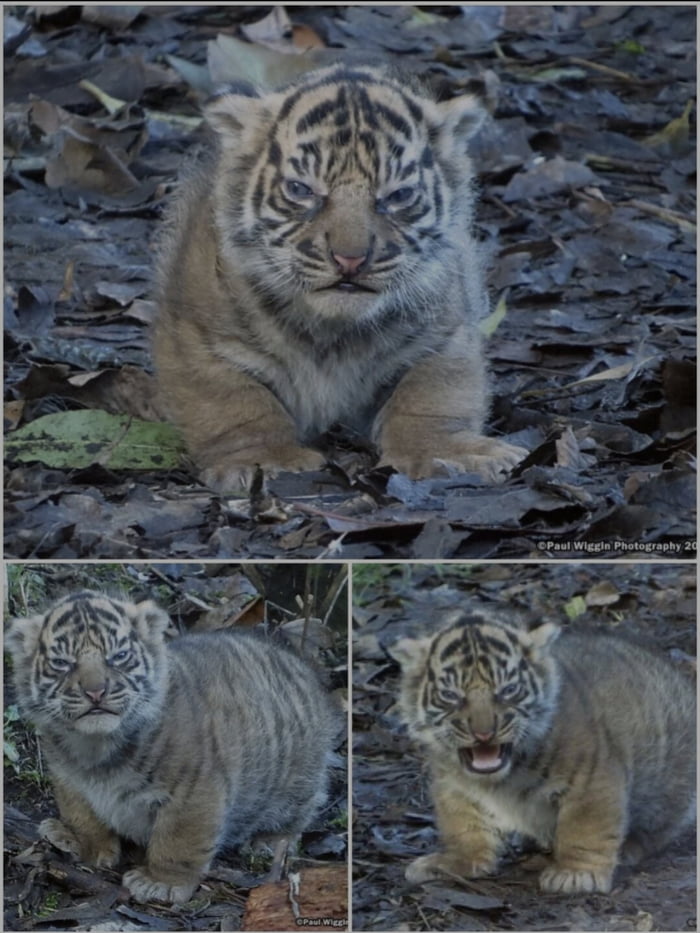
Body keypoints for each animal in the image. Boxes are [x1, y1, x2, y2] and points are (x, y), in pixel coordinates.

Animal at [6, 591, 340, 905]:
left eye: (119, 656)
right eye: (62, 663)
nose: (95, 691)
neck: (95, 748)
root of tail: (302, 667)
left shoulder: (194, 793)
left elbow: (178, 841)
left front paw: (161, 883)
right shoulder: (69, 781)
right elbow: (83, 816)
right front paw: (83, 844)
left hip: (296, 782)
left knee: (297, 815)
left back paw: (269, 843)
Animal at [152, 63, 527, 492]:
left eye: (397, 196)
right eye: (301, 189)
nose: (350, 259)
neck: (332, 331)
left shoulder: (444, 334)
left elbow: (434, 393)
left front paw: (446, 452)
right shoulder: (198, 338)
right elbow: (235, 401)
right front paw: (265, 459)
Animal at [390, 610, 696, 894]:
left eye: (508, 690)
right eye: (451, 695)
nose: (484, 733)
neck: (498, 780)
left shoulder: (591, 780)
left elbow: (585, 827)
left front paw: (575, 875)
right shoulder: (453, 786)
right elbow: (462, 825)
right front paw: (453, 862)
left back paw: (629, 848)